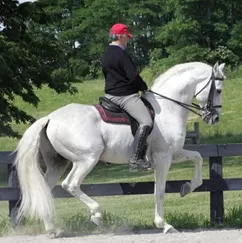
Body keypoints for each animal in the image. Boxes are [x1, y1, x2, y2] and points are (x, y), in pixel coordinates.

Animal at [12, 60, 225, 235]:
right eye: (219, 90)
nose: (214, 118)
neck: (167, 108)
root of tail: (50, 118)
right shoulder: (163, 158)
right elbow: (160, 191)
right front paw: (163, 224)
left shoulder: (174, 153)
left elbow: (197, 157)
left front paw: (187, 187)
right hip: (87, 159)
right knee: (70, 185)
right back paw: (96, 215)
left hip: (58, 164)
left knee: (45, 191)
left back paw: (53, 230)